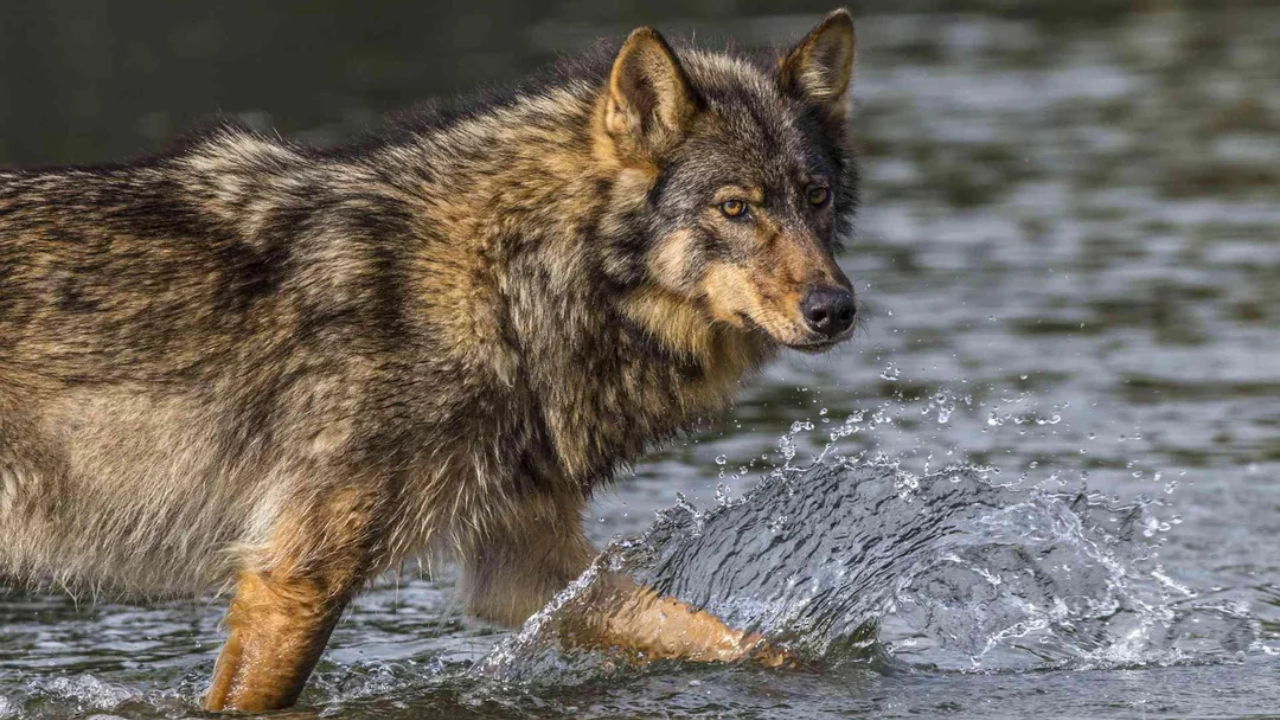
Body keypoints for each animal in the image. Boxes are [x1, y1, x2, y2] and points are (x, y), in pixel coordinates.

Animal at [0, 9, 859, 712]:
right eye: (736, 208)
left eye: (814, 197)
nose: (836, 309)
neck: (504, 282)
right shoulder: (296, 577)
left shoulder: (525, 567)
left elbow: (744, 644)